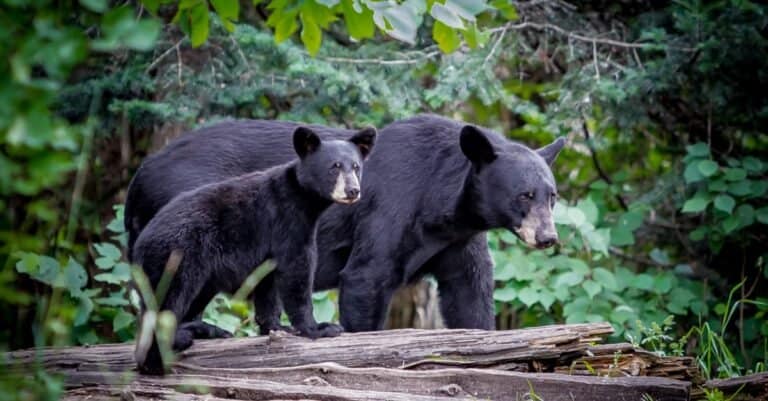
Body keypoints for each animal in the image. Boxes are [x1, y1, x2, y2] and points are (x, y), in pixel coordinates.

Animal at [124, 115, 564, 334]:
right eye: (524, 195)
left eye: (552, 195)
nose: (548, 237)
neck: (442, 203)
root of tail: (138, 177)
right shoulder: (392, 208)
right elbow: (366, 278)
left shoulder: (457, 238)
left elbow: (470, 291)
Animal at [131, 125, 376, 374]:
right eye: (334, 166)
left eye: (356, 167)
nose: (353, 191)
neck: (303, 198)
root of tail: (140, 240)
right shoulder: (287, 220)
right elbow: (297, 269)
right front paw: (319, 328)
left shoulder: (269, 244)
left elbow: (268, 283)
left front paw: (277, 328)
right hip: (175, 255)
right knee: (166, 302)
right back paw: (158, 359)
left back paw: (202, 331)